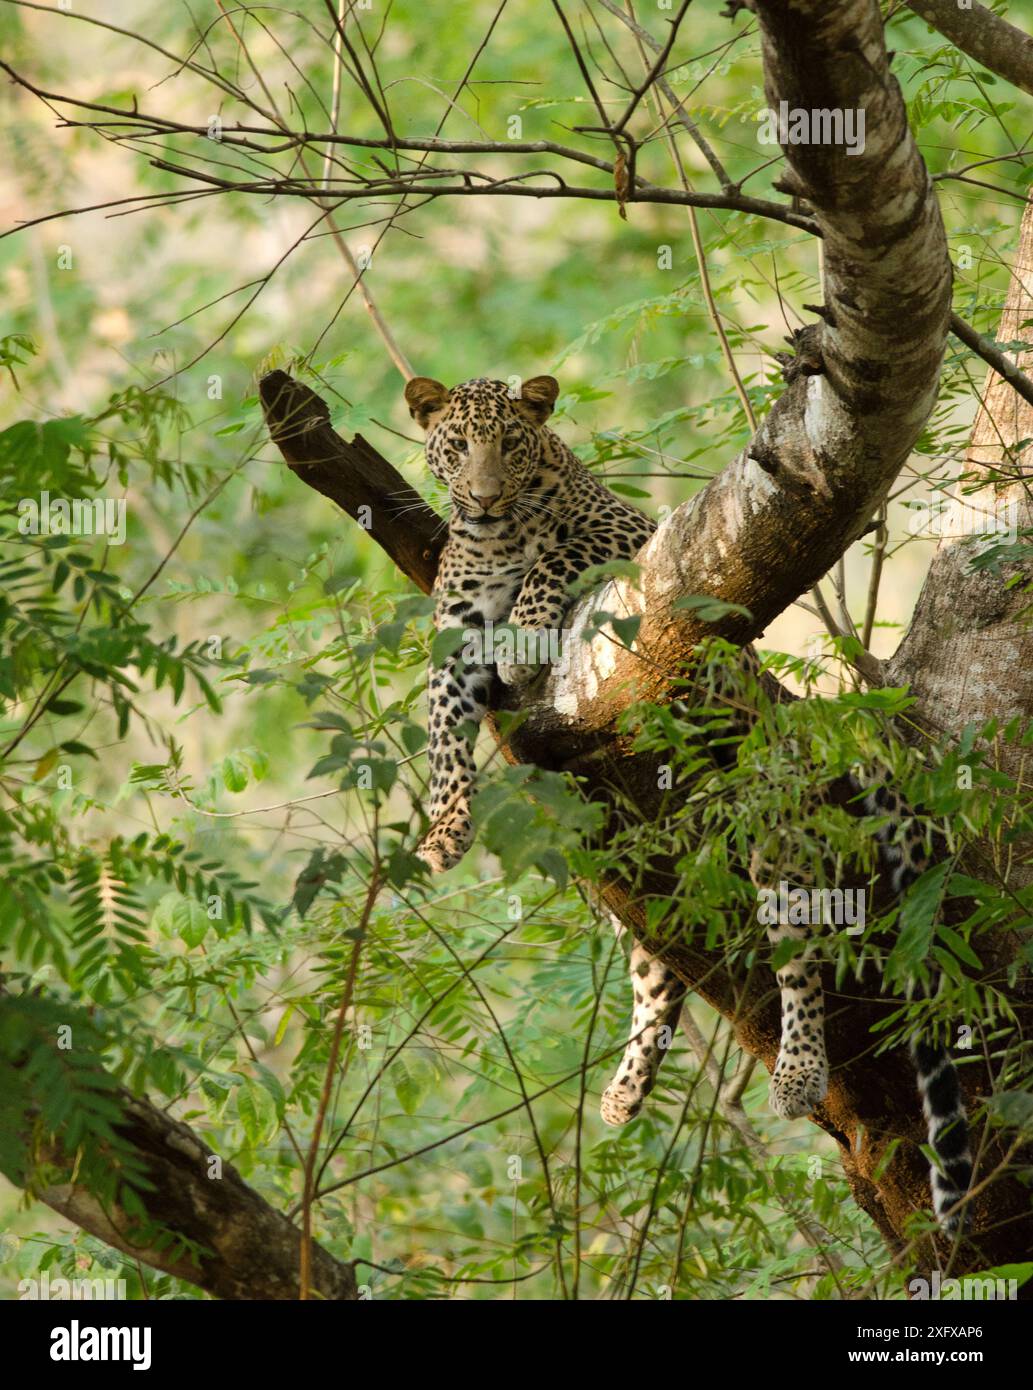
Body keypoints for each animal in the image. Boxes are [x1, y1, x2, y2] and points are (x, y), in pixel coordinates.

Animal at [405, 371, 972, 1238]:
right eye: (458, 445)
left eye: (510, 444)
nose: (484, 494)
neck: (498, 538)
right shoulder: (450, 639)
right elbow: (441, 736)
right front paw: (443, 832)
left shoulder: (629, 540)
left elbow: (556, 556)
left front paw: (527, 633)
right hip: (632, 882)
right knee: (657, 976)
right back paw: (622, 1091)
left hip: (770, 824)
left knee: (799, 962)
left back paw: (798, 1075)